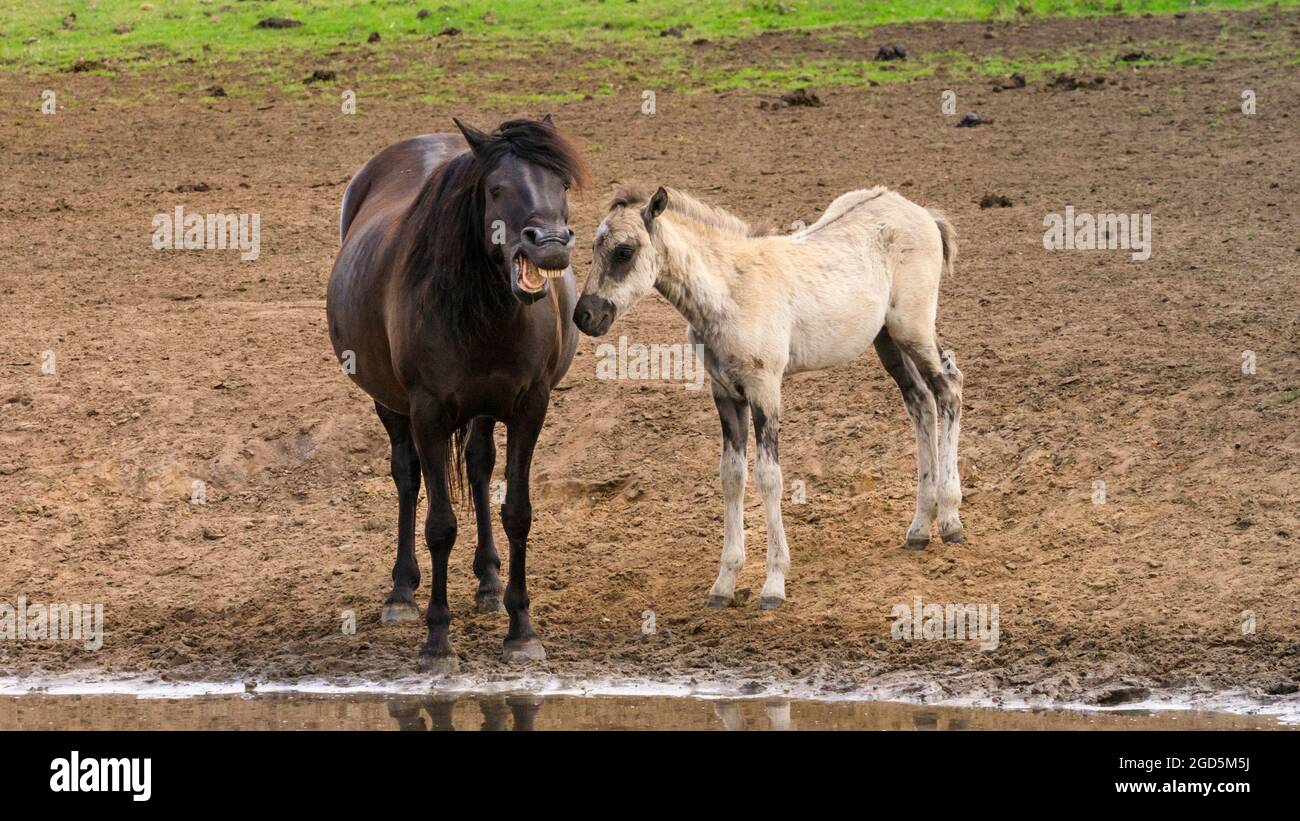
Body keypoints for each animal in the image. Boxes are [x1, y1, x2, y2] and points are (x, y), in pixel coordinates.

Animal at [327, 116, 586, 672]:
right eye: (497, 188)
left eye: (561, 184)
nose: (551, 243)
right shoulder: (427, 412)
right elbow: (440, 524)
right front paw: (437, 640)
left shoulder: (529, 408)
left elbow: (517, 512)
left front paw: (521, 629)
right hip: (390, 404)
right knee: (407, 477)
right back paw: (402, 593)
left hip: (483, 411)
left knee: (479, 464)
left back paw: (488, 582)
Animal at [573, 185, 964, 611]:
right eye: (593, 246)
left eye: (624, 250)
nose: (584, 316)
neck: (728, 291)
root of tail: (921, 213)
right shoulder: (725, 394)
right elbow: (732, 476)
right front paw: (724, 584)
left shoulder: (765, 390)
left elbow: (768, 477)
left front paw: (774, 583)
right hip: (887, 341)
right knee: (921, 403)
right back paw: (920, 527)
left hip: (914, 330)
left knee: (949, 390)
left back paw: (949, 519)